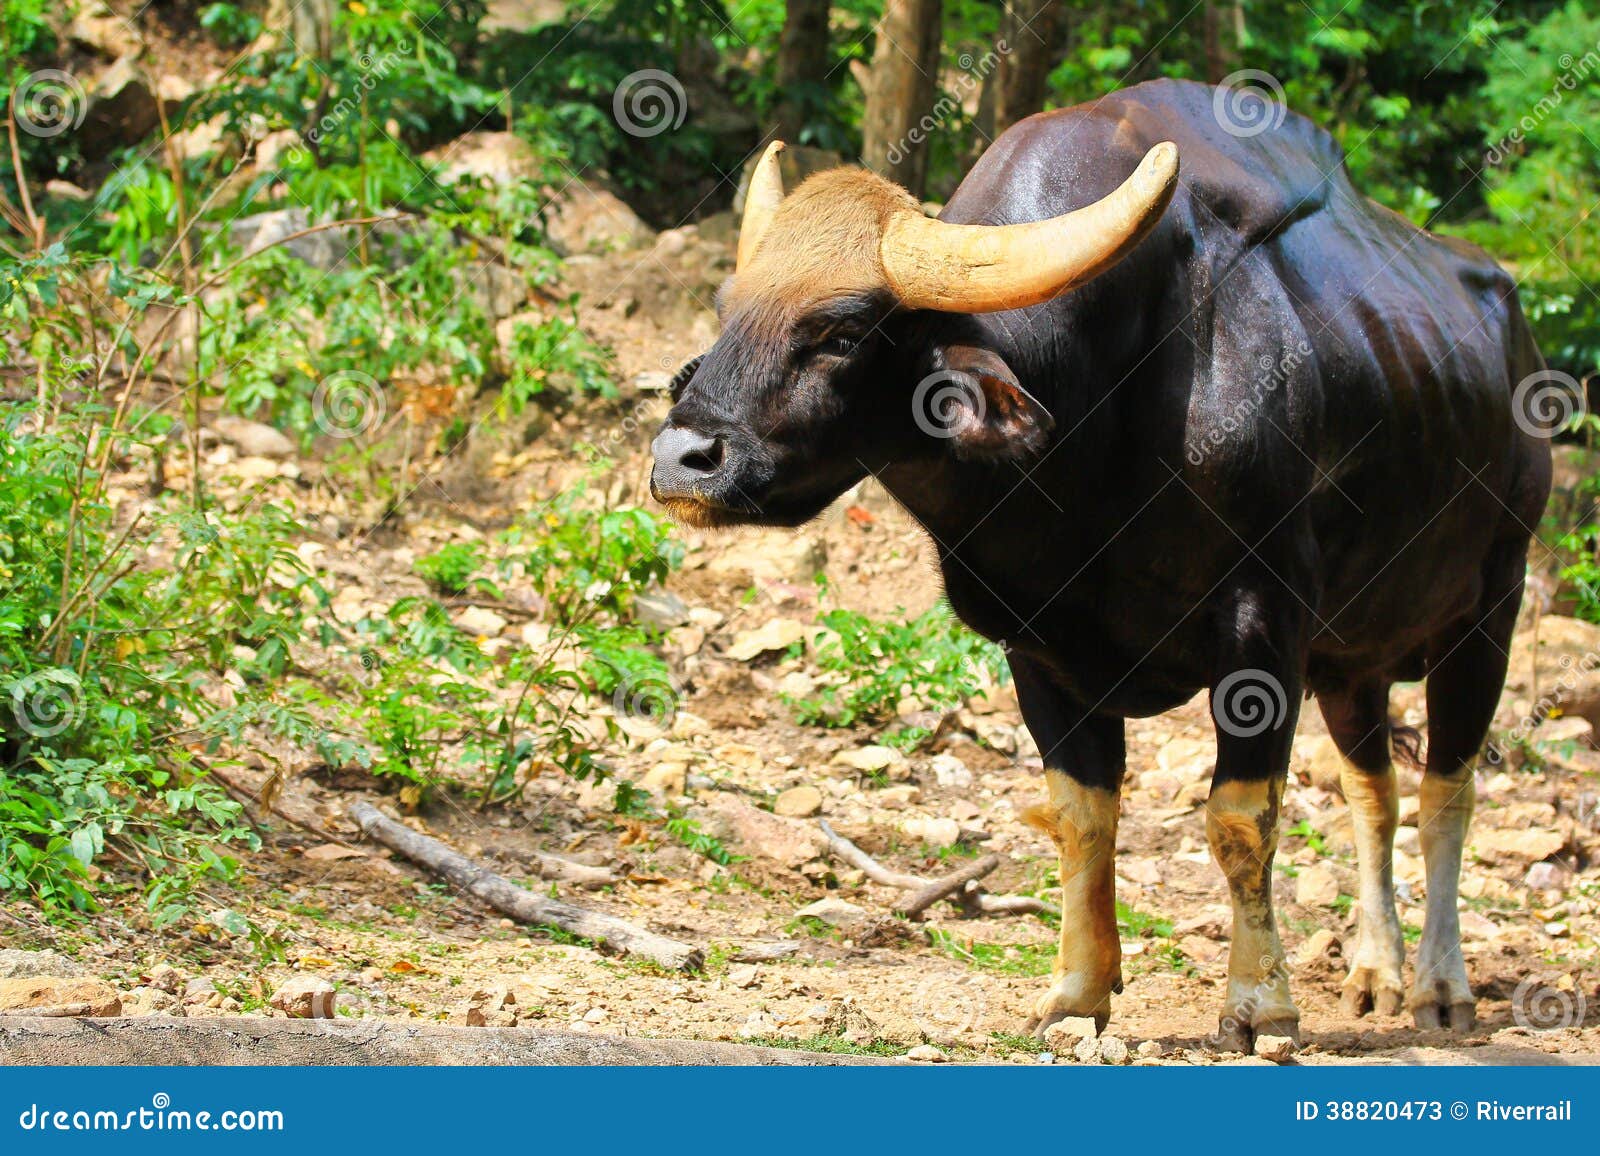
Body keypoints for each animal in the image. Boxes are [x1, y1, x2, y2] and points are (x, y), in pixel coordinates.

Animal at [650, 78, 1552, 1050]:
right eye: (727, 308)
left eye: (843, 332)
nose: (682, 459)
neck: (1089, 431)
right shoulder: (1037, 647)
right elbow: (1081, 815)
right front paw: (1079, 991)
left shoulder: (1263, 624)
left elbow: (1242, 818)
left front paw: (1259, 1004)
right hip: (1355, 662)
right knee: (1374, 791)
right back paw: (1377, 971)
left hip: (1488, 609)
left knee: (1445, 793)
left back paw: (1440, 985)